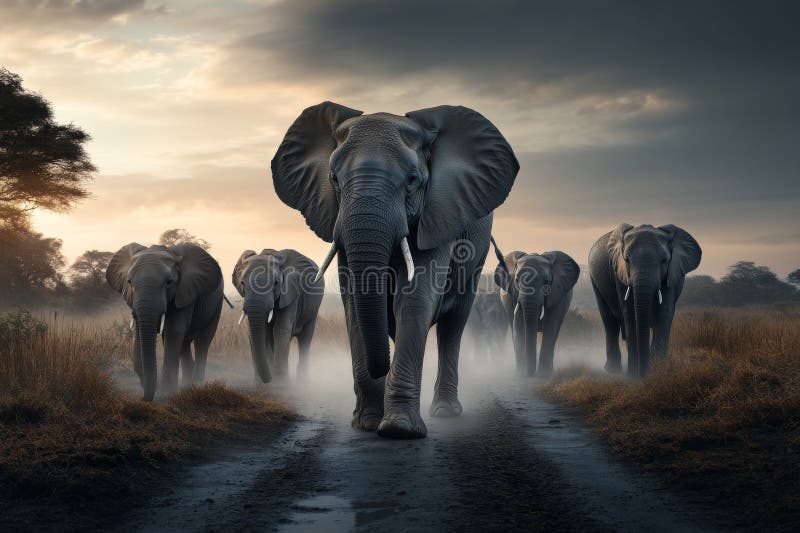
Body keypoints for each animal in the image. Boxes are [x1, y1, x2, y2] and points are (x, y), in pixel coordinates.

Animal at [106, 243, 224, 401]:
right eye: (129, 282)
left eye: (169, 282)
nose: (144, 399)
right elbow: (139, 336)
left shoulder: (183, 293)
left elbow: (173, 332)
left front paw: (167, 393)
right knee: (184, 344)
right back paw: (187, 386)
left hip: (217, 303)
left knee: (203, 341)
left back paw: (197, 385)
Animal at [232, 249, 324, 382]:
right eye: (242, 283)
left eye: (276, 283)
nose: (267, 379)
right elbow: (260, 332)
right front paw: (264, 384)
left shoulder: (291, 293)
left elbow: (280, 330)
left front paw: (281, 383)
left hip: (312, 310)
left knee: (305, 338)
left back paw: (302, 382)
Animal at [271, 101, 519, 438]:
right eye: (334, 178)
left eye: (413, 180)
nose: (383, 369)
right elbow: (353, 306)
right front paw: (366, 423)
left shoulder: (437, 215)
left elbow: (414, 300)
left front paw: (399, 429)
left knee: (453, 325)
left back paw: (445, 411)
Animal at [588, 224, 701, 377]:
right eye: (627, 260)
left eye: (664, 260)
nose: (643, 374)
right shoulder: (620, 273)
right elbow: (630, 314)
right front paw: (633, 376)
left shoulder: (672, 274)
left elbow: (663, 313)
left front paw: (658, 372)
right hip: (595, 282)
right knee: (609, 321)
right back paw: (613, 370)